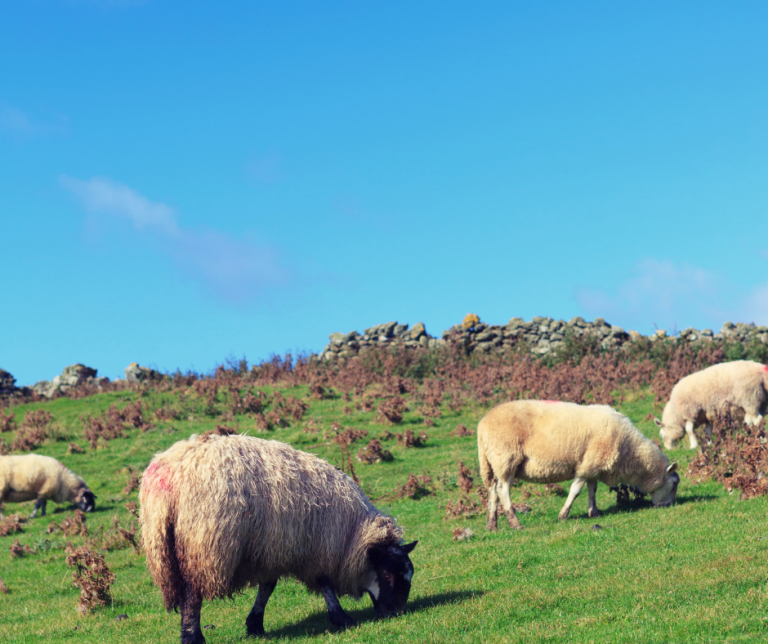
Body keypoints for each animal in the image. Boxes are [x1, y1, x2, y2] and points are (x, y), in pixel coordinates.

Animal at [139, 433, 417, 644]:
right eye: (386, 574)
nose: (396, 612)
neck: (350, 533)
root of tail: (174, 470)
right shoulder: (315, 547)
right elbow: (324, 582)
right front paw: (341, 617)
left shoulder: (270, 549)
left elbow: (268, 586)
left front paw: (255, 625)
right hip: (202, 543)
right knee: (192, 594)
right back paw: (192, 637)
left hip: (164, 547)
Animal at [478, 400, 679, 530]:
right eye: (674, 484)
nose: (668, 506)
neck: (630, 452)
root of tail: (482, 425)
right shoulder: (586, 466)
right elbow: (575, 491)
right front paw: (563, 515)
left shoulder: (594, 467)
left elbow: (592, 490)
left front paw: (594, 513)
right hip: (506, 457)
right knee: (503, 490)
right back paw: (515, 523)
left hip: (492, 462)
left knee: (493, 490)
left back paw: (492, 525)